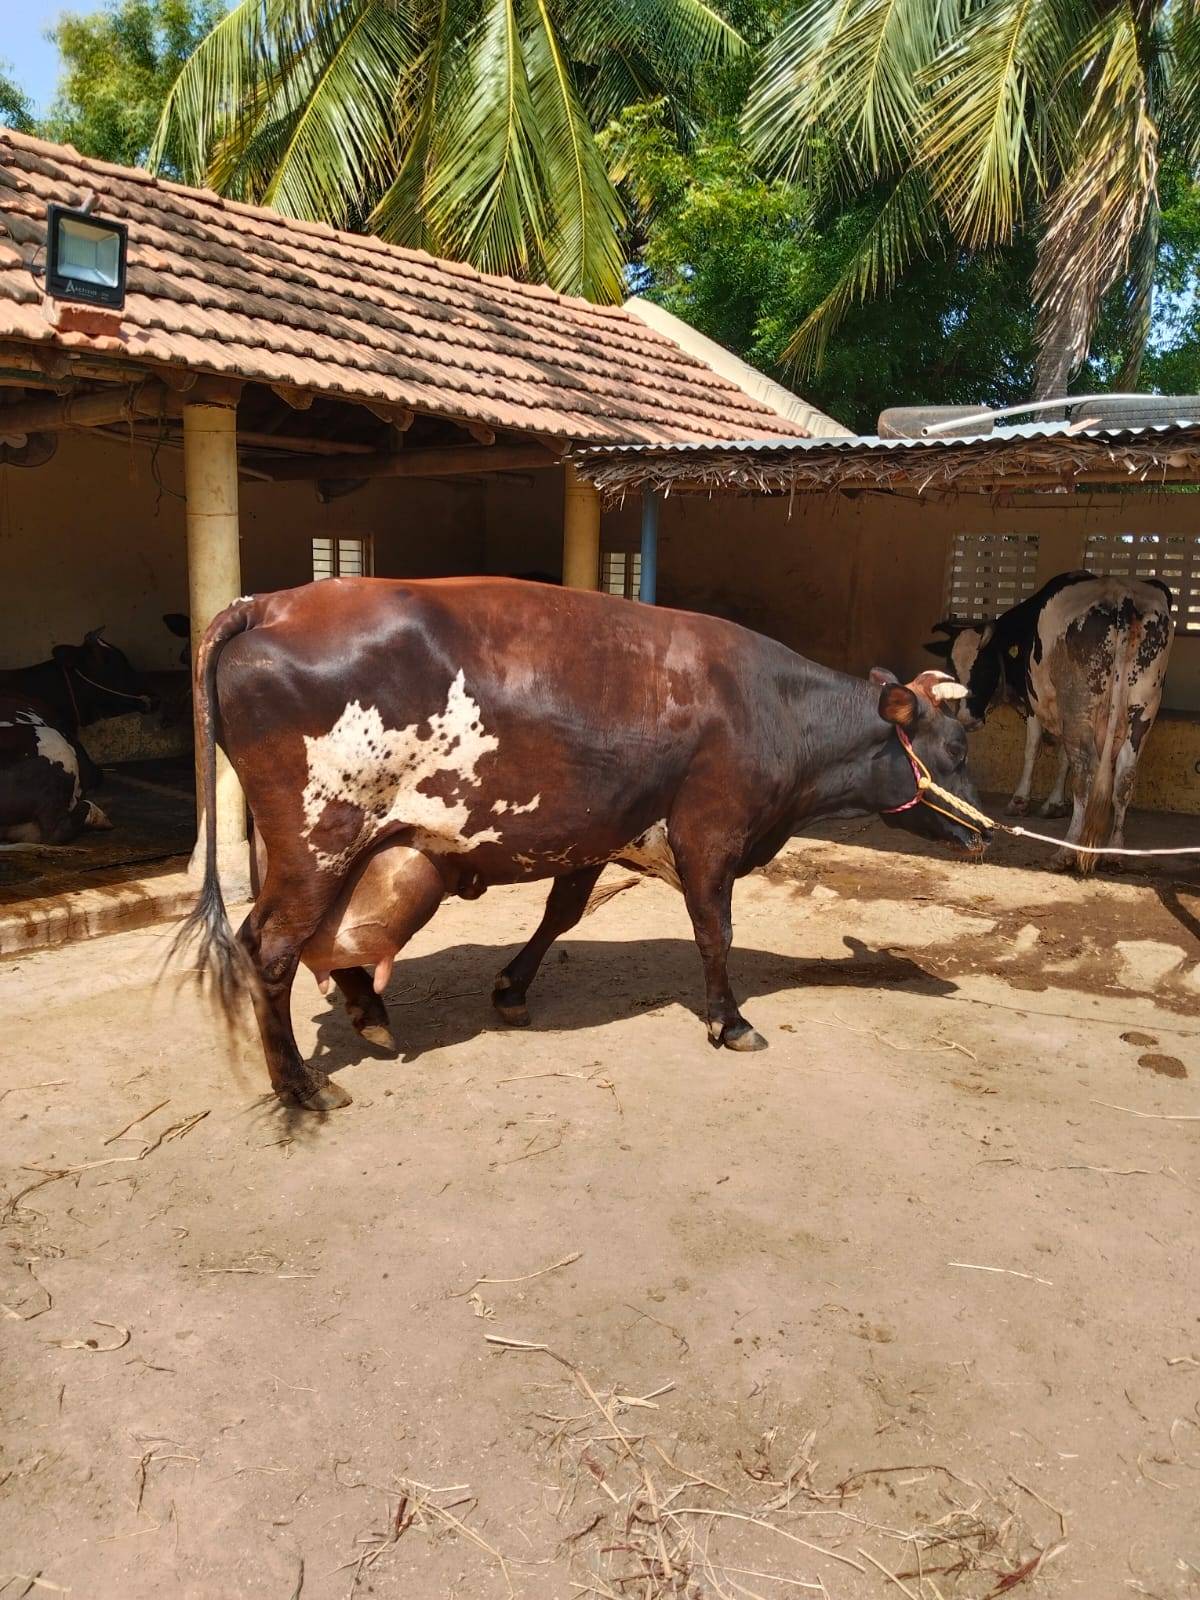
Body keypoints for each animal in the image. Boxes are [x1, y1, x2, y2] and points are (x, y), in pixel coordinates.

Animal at [177, 577, 987, 1111]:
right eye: (954, 746)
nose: (986, 831)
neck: (776, 709)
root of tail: (272, 602)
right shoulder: (710, 832)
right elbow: (715, 931)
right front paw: (730, 1022)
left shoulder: (598, 834)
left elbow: (561, 915)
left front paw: (510, 989)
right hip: (320, 836)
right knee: (272, 948)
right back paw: (301, 1088)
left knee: (324, 943)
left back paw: (369, 1016)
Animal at [925, 571, 1173, 871]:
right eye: (951, 669)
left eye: (984, 668)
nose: (965, 719)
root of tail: (1122, 596)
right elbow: (1063, 758)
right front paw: (1054, 804)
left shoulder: (1036, 705)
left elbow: (1033, 750)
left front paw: (1020, 800)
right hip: (1143, 709)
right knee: (1124, 777)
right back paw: (1114, 852)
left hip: (1080, 707)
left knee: (1085, 774)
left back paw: (1067, 850)